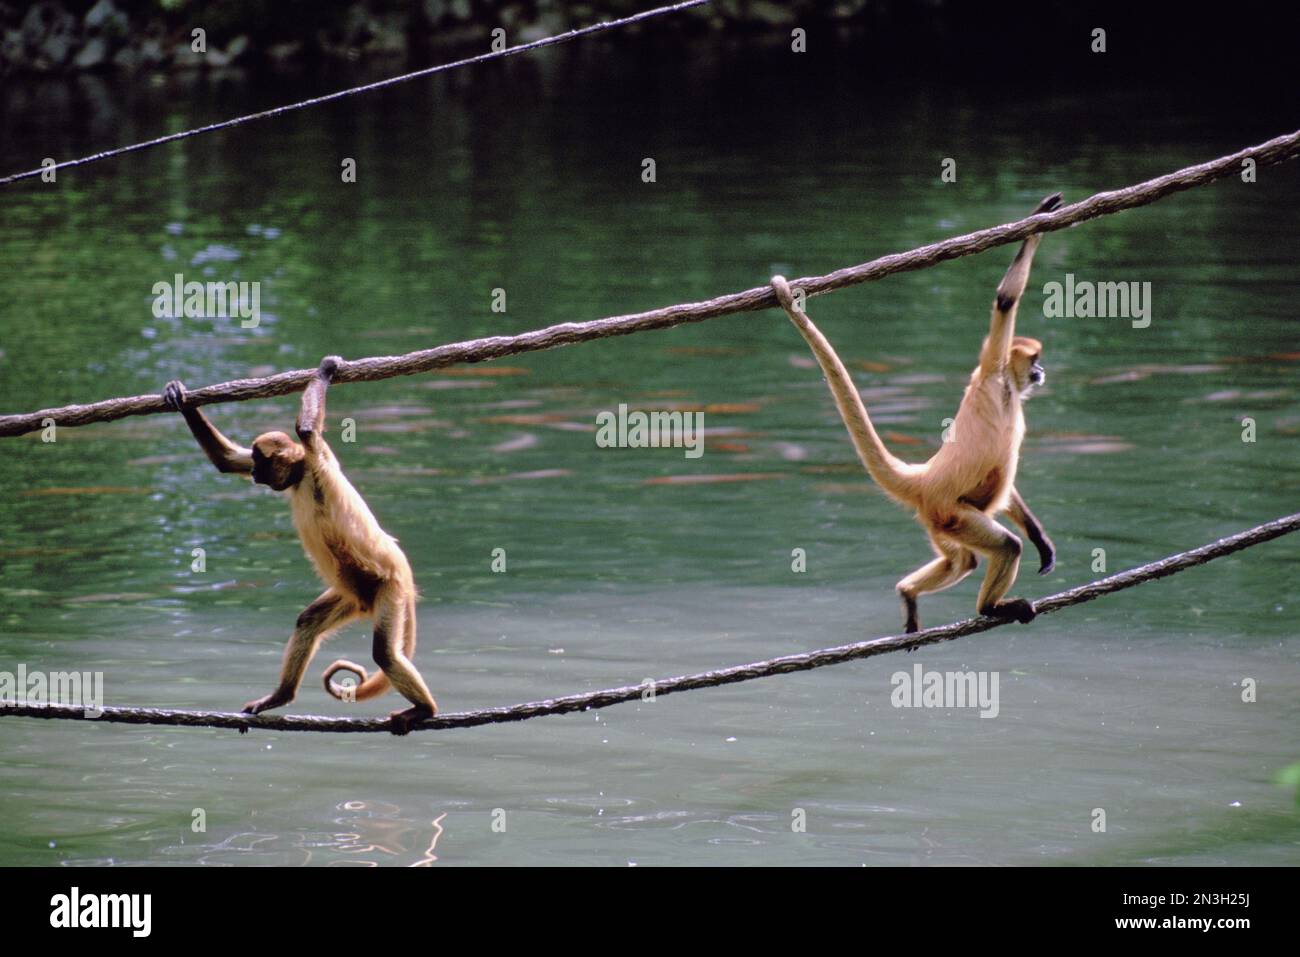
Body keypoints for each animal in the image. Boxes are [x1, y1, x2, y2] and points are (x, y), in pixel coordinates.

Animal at [162, 356, 438, 734]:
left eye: (261, 463)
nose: (256, 474)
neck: (303, 476)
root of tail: (401, 566)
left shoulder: (317, 457)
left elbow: (306, 431)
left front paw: (326, 370)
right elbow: (227, 461)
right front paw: (180, 394)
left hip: (388, 587)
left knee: (384, 652)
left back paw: (425, 709)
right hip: (353, 594)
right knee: (307, 621)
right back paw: (280, 697)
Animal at [771, 193, 1062, 634]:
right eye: (1035, 360)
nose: (1042, 371)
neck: (1008, 390)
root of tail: (925, 476)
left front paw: (1041, 541)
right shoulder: (991, 366)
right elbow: (1004, 301)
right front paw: (1038, 220)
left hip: (943, 520)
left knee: (963, 559)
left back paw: (909, 593)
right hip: (951, 513)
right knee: (1003, 547)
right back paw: (989, 608)